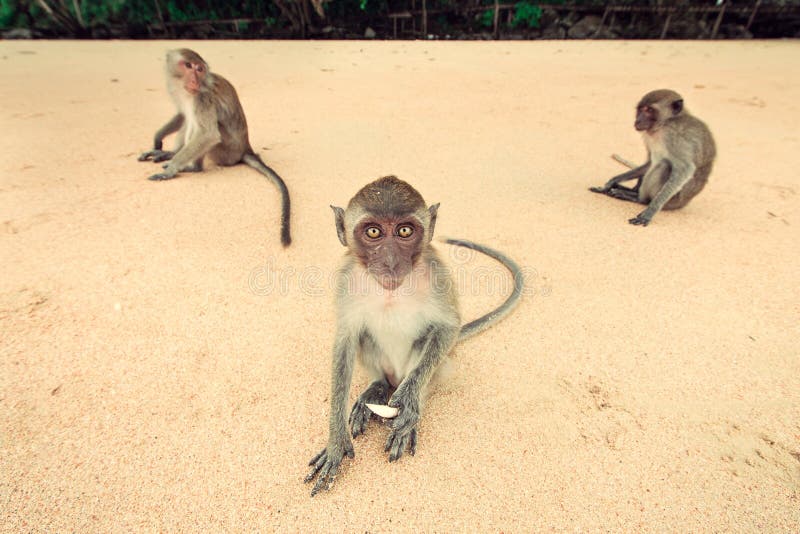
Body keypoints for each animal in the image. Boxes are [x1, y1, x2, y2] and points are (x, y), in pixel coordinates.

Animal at [138, 49, 291, 246]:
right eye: (188, 65)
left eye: (200, 69)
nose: (195, 80)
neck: (187, 91)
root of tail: (245, 148)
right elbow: (181, 114)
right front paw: (159, 140)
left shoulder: (203, 98)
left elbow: (208, 134)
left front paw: (172, 169)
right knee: (189, 119)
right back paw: (170, 153)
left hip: (225, 152)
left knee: (202, 126)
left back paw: (192, 167)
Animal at [304, 176, 524, 496]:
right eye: (373, 232)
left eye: (405, 231)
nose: (391, 261)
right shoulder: (346, 278)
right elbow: (346, 339)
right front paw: (336, 441)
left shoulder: (437, 270)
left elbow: (447, 326)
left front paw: (408, 402)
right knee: (367, 343)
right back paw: (378, 387)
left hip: (435, 368)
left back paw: (410, 409)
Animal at [589, 89, 716, 227]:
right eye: (640, 109)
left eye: (649, 110)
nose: (637, 121)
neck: (663, 124)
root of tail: (683, 204)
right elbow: (649, 163)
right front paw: (611, 183)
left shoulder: (675, 136)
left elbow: (685, 169)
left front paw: (650, 212)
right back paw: (629, 190)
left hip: (672, 201)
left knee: (664, 165)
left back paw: (638, 198)